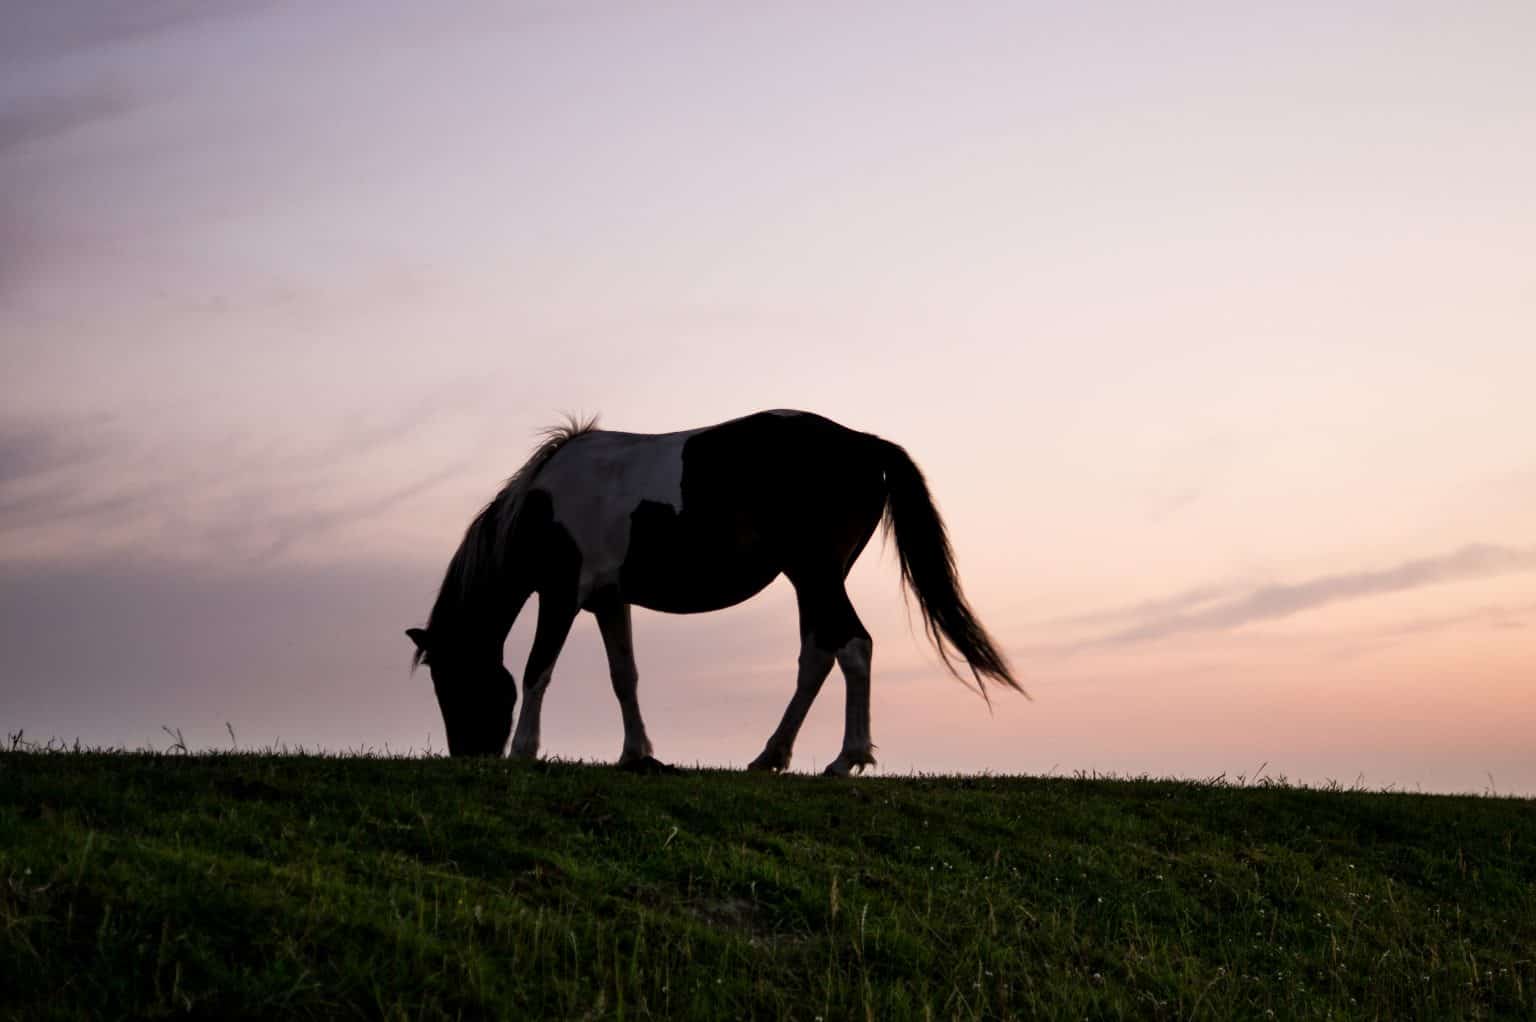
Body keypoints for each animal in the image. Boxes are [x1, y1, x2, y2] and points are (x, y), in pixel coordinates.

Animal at [406, 409, 1022, 775]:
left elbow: (539, 668)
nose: (469, 754)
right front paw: (637, 755)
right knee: (819, 654)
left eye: (452, 682)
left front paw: (523, 751)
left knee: (853, 647)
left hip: (817, 574)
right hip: (811, 580)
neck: (544, 503)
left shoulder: (561, 594)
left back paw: (846, 759)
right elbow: (624, 676)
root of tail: (864, 444)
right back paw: (772, 756)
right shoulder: (608, 600)